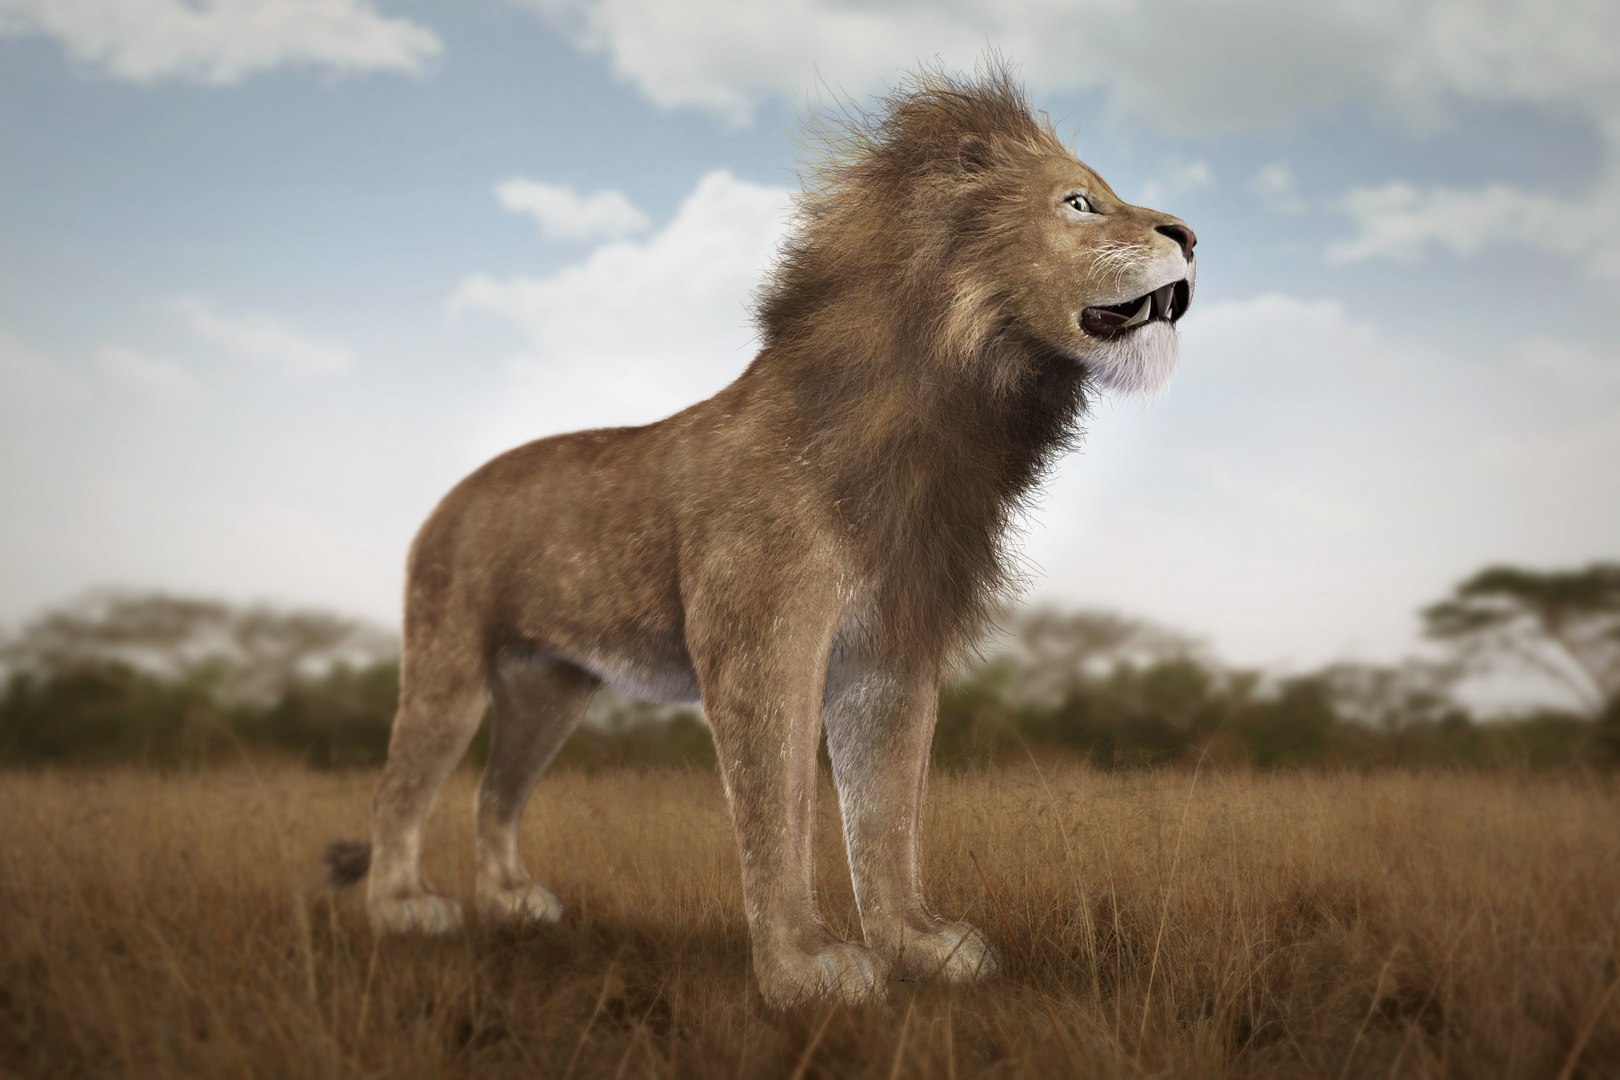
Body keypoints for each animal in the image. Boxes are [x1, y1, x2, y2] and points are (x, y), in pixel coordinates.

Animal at [324, 60, 1196, 1008]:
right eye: (1078, 202)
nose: (1190, 236)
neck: (943, 419)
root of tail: (450, 496)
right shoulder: (762, 649)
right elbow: (778, 811)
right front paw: (805, 968)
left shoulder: (892, 657)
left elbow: (888, 813)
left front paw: (918, 944)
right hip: (449, 663)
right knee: (400, 790)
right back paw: (404, 909)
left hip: (551, 688)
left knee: (495, 793)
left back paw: (514, 902)